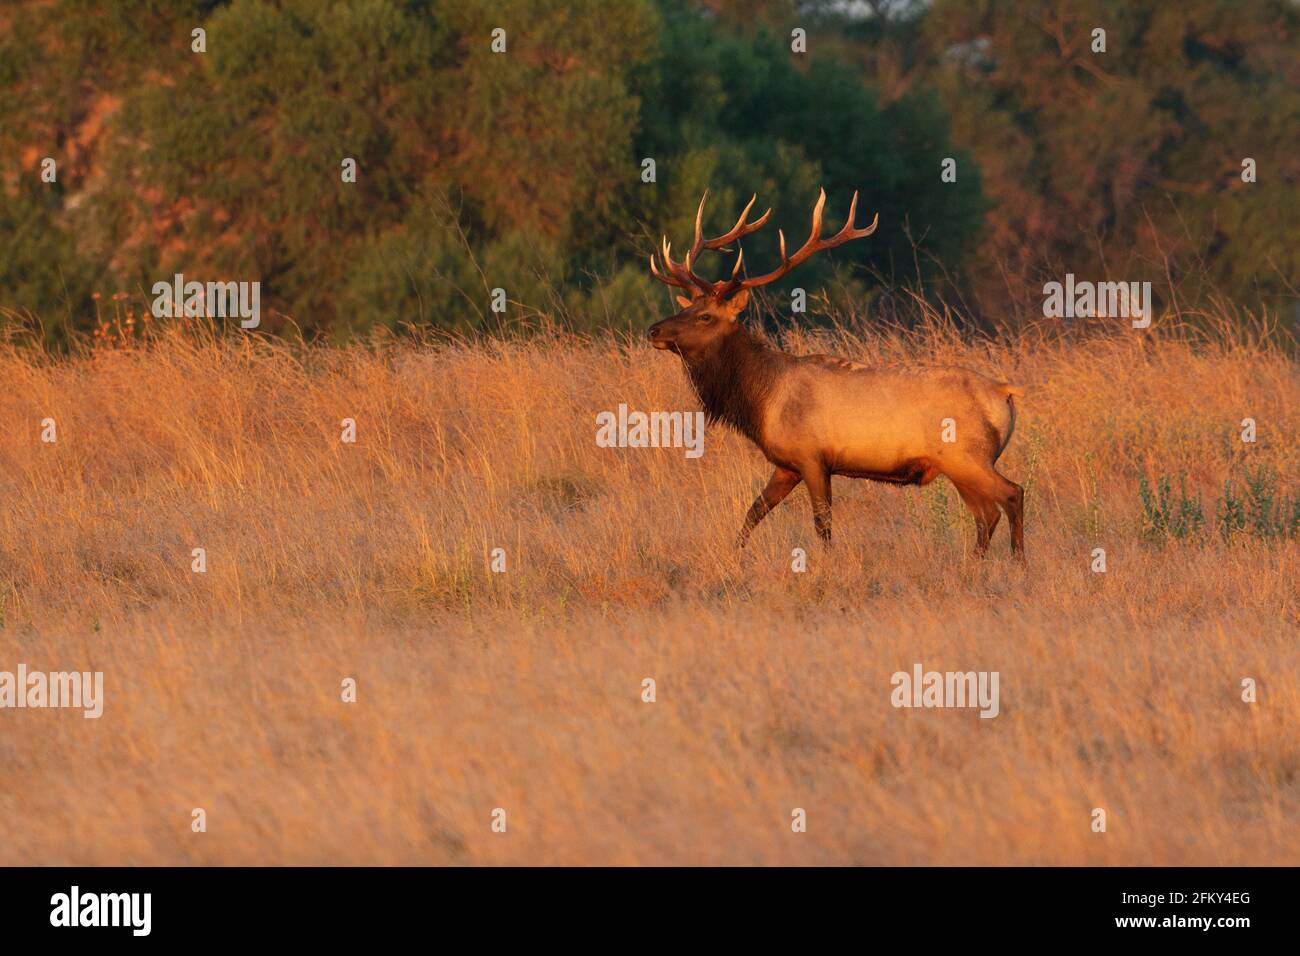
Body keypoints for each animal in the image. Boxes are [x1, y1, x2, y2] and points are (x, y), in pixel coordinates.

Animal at [647, 189, 1025, 557]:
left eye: (705, 316)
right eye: (688, 307)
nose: (653, 330)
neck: (763, 401)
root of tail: (1005, 393)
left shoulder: (812, 457)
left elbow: (822, 523)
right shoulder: (786, 464)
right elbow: (754, 511)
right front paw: (735, 556)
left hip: (969, 456)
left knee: (1012, 494)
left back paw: (1018, 561)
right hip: (957, 465)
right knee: (986, 514)